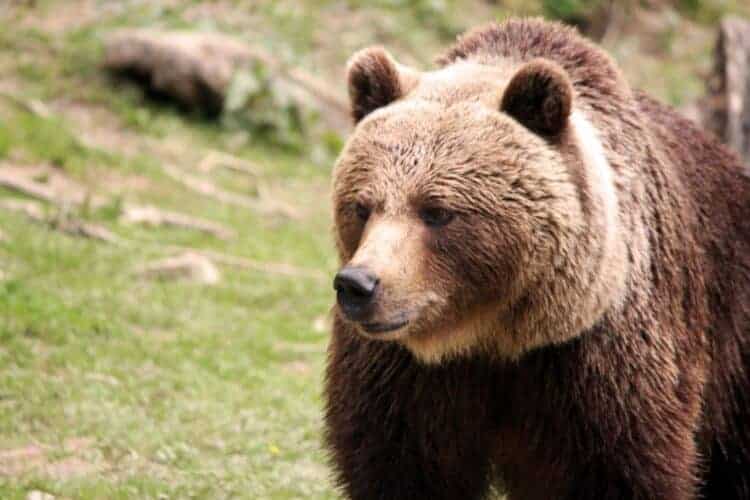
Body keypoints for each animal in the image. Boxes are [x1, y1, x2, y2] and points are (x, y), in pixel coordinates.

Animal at [324, 18, 750, 500]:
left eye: (436, 211)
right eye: (362, 206)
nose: (358, 284)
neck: (490, 337)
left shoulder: (600, 367)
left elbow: (624, 470)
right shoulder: (403, 381)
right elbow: (401, 467)